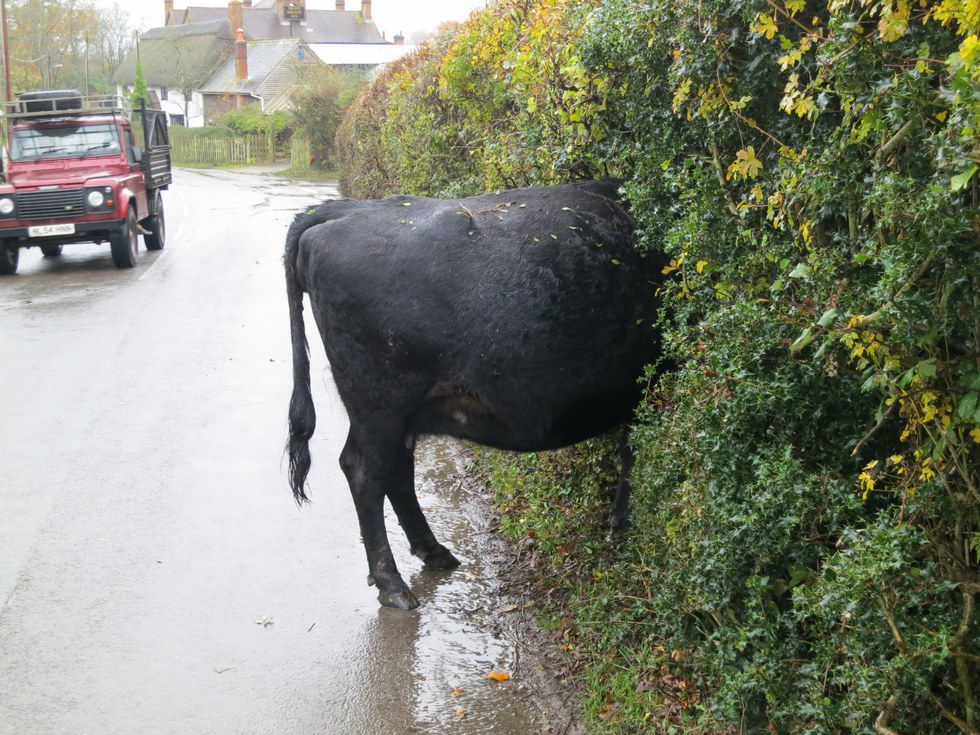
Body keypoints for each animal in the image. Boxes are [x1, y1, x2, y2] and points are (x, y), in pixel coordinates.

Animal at [285, 179, 665, 610]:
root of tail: (343, 209)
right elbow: (632, 454)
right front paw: (622, 524)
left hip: (403, 409)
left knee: (396, 469)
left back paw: (434, 552)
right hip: (380, 399)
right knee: (365, 470)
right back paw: (392, 583)